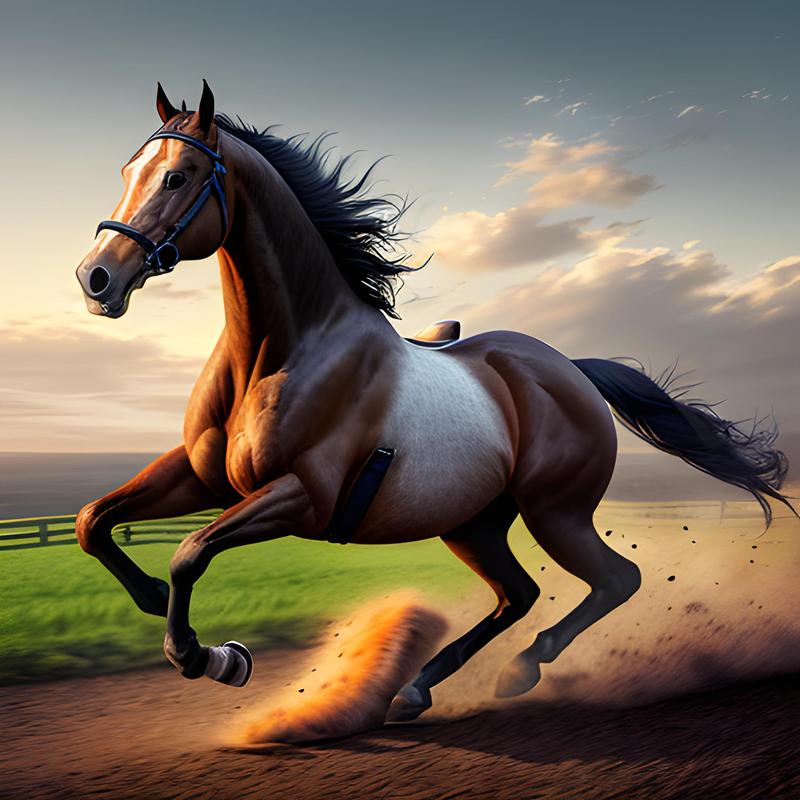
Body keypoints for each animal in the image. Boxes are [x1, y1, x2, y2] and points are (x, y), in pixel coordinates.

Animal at [74, 81, 792, 722]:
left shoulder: (303, 495)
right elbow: (93, 521)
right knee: (519, 594)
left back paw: (516, 671)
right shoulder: (202, 478)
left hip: (556, 512)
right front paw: (154, 598)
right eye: (128, 170)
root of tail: (574, 372)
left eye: (179, 176)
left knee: (617, 581)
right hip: (474, 522)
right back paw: (415, 689)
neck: (283, 352)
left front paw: (214, 657)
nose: (96, 277)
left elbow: (191, 551)